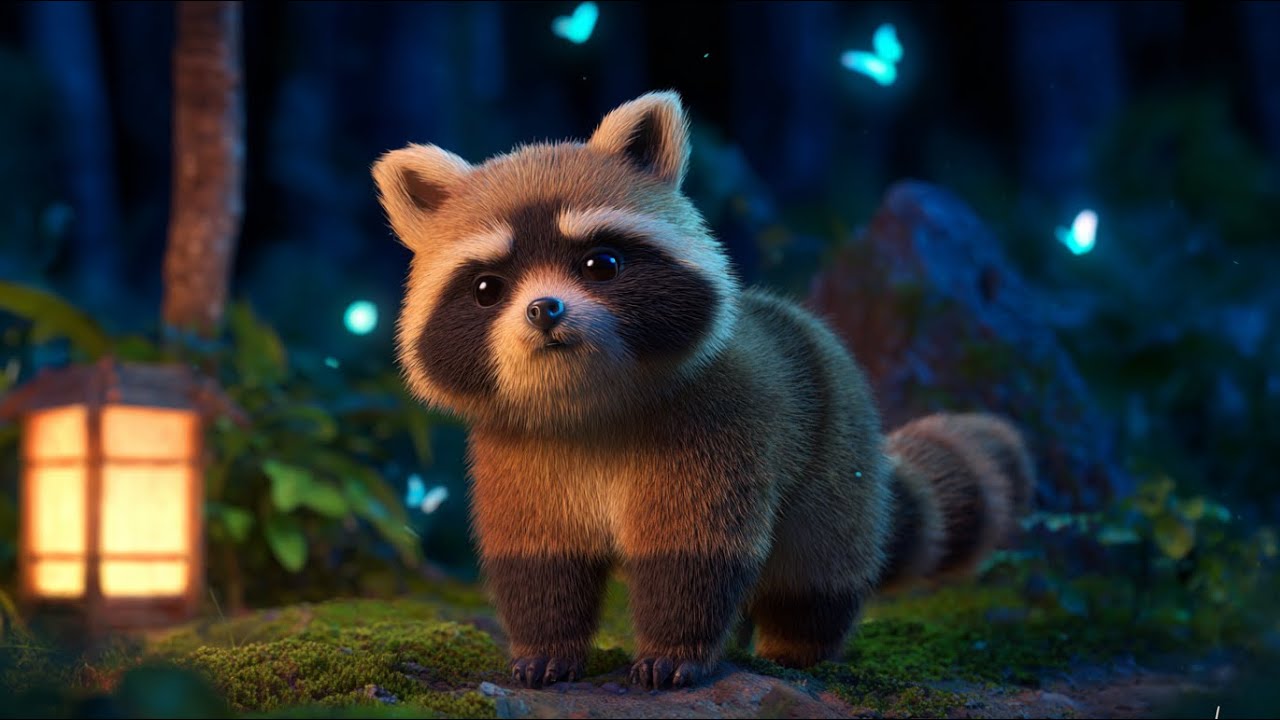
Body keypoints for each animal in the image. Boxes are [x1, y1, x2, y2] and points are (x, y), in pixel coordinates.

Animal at [372, 91, 1034, 690]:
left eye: (600, 264)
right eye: (488, 288)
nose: (544, 310)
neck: (585, 400)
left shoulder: (719, 424)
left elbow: (692, 552)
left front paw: (674, 649)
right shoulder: (517, 450)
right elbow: (538, 559)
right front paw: (546, 645)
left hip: (838, 457)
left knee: (817, 567)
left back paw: (798, 644)